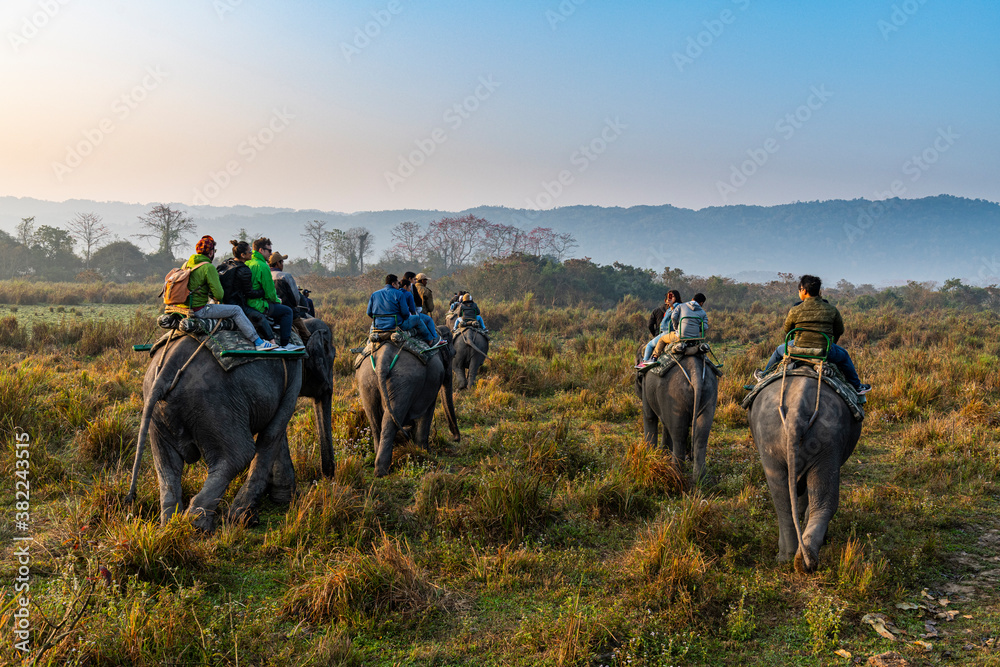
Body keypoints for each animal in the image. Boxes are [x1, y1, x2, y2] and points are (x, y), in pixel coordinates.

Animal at [125, 317, 336, 531]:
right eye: (332, 356)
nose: (327, 477)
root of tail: (167, 370)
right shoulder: (294, 373)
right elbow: (272, 433)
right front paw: (245, 519)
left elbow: (277, 431)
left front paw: (283, 499)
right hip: (215, 405)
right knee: (238, 455)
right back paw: (198, 526)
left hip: (158, 410)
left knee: (166, 464)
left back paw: (170, 525)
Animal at [355, 326, 460, 477]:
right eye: (453, 353)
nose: (456, 439)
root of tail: (382, 360)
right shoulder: (432, 383)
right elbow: (428, 411)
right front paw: (425, 452)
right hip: (403, 381)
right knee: (390, 421)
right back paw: (382, 471)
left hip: (366, 380)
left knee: (374, 420)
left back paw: (376, 463)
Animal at [635, 350, 719, 485]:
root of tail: (695, 372)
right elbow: (666, 423)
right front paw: (662, 455)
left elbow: (649, 417)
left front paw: (648, 456)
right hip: (710, 391)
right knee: (701, 436)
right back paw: (700, 481)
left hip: (675, 392)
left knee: (679, 436)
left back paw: (675, 476)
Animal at [748, 374, 862, 573]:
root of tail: (796, 411)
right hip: (826, 442)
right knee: (822, 501)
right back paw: (804, 557)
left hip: (772, 442)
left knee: (784, 500)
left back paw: (792, 557)